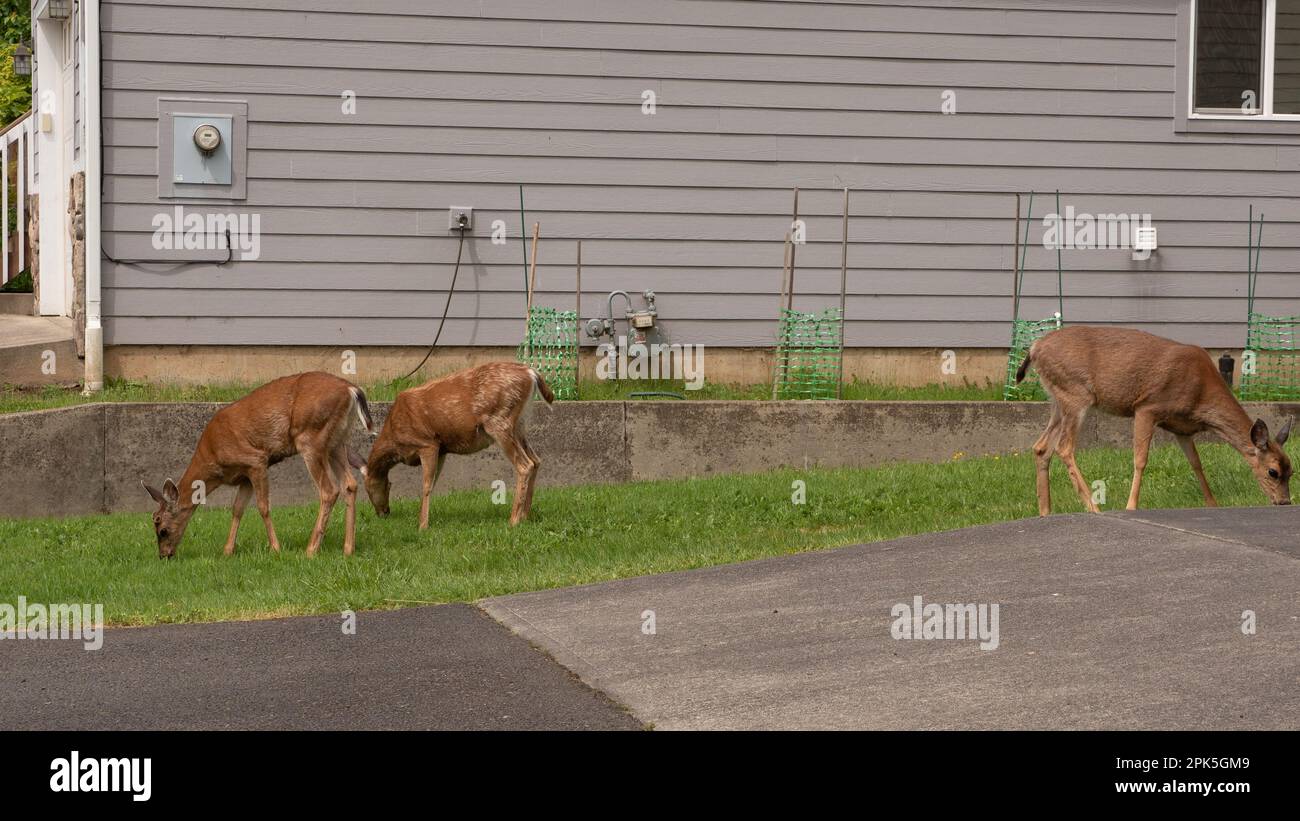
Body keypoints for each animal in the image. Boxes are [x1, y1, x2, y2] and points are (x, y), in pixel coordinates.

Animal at [142, 372, 375, 559]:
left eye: (161, 527)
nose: (164, 555)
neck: (213, 457)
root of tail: (351, 389)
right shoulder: (244, 475)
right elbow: (237, 509)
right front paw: (227, 551)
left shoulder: (256, 460)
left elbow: (263, 507)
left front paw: (275, 548)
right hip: (337, 440)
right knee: (349, 484)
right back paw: (348, 549)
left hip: (311, 437)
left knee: (329, 489)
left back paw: (311, 549)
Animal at [364, 362, 553, 529]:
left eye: (368, 489)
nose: (383, 513)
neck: (394, 437)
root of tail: (531, 374)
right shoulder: (442, 449)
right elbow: (433, 483)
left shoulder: (427, 443)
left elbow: (426, 485)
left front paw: (422, 526)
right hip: (520, 424)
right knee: (536, 460)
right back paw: (525, 516)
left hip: (499, 421)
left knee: (525, 465)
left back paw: (513, 520)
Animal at [1017, 325, 1293, 516]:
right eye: (1273, 472)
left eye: (1291, 470)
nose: (1284, 502)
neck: (1201, 396)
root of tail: (1034, 347)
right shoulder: (1147, 407)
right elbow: (1140, 460)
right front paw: (1131, 506)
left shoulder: (1182, 428)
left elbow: (1196, 464)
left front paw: (1213, 504)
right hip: (1076, 394)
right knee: (1064, 447)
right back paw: (1093, 507)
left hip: (1058, 399)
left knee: (1041, 447)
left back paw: (1045, 512)